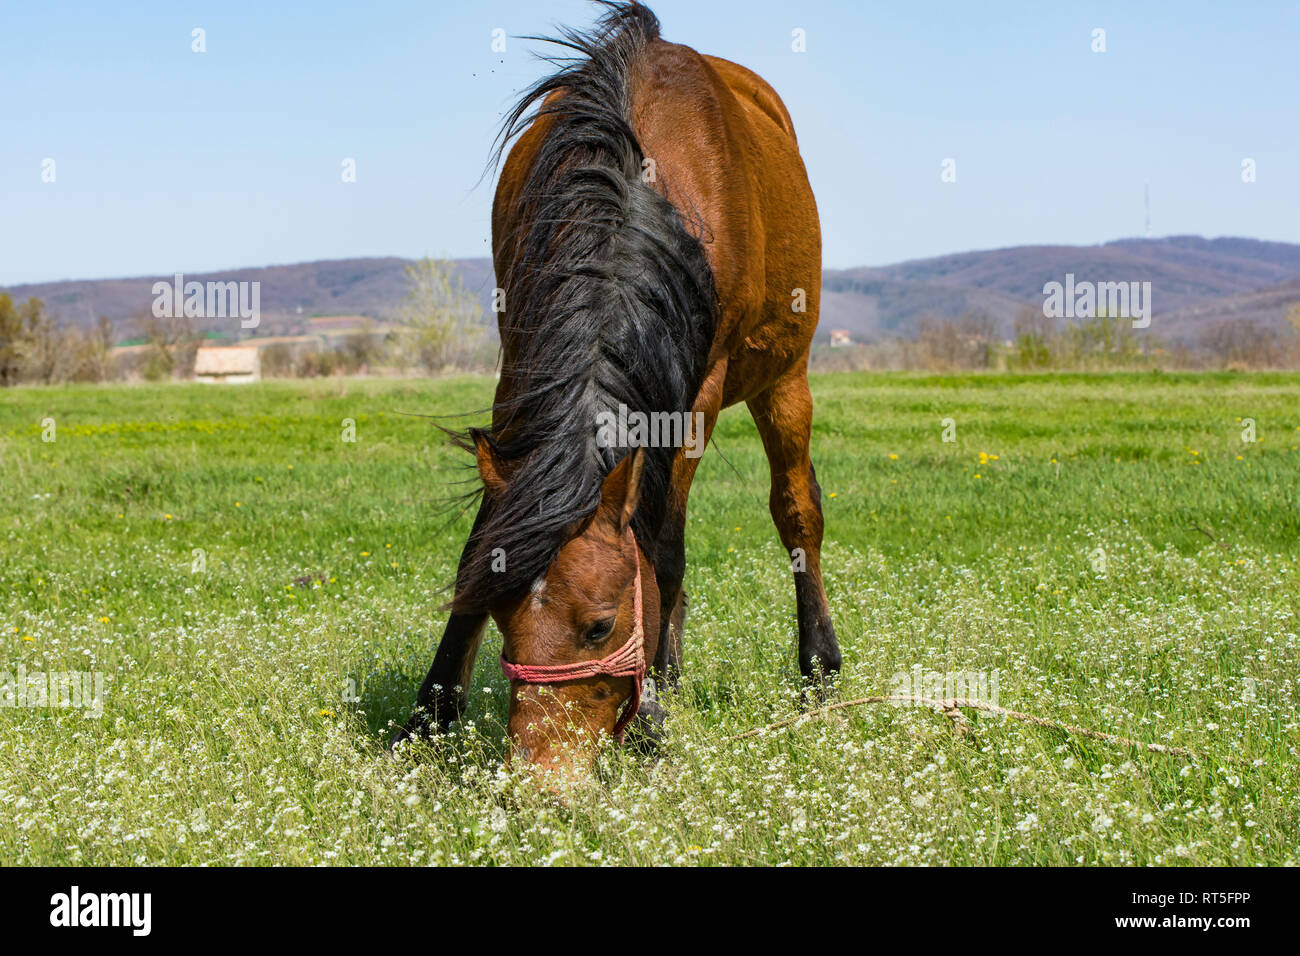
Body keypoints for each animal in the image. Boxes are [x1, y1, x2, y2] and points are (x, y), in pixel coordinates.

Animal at [393, 1, 840, 779]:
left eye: (600, 626)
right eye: (502, 615)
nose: (540, 771)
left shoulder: (697, 394)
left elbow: (660, 543)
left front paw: (652, 711)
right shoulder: (521, 367)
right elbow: (491, 531)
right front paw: (433, 711)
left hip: (785, 379)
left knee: (794, 511)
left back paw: (816, 666)